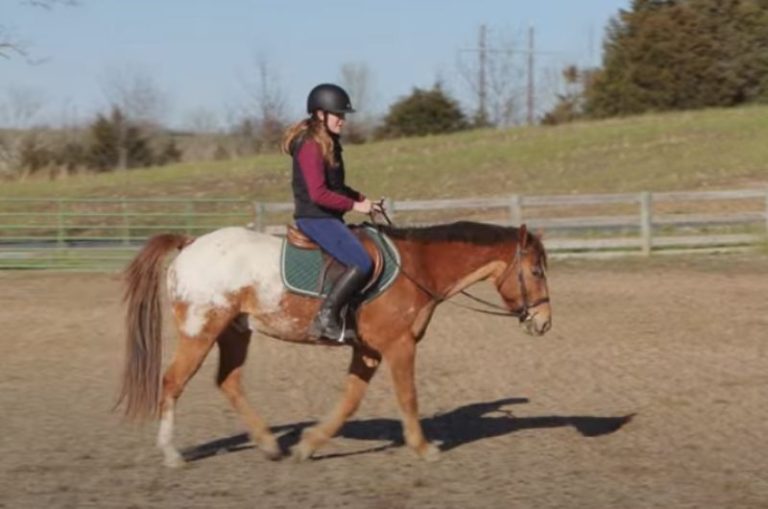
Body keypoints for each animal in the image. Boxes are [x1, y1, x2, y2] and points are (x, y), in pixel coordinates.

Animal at [116, 221, 552, 466]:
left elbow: (349, 400)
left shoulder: (369, 349)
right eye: (535, 271)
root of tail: (190, 244)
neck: (418, 268)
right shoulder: (399, 345)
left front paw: (308, 445)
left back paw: (269, 445)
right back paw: (172, 454)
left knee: (228, 381)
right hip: (200, 331)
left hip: (235, 332)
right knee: (172, 383)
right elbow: (408, 397)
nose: (544, 322)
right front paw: (424, 448)